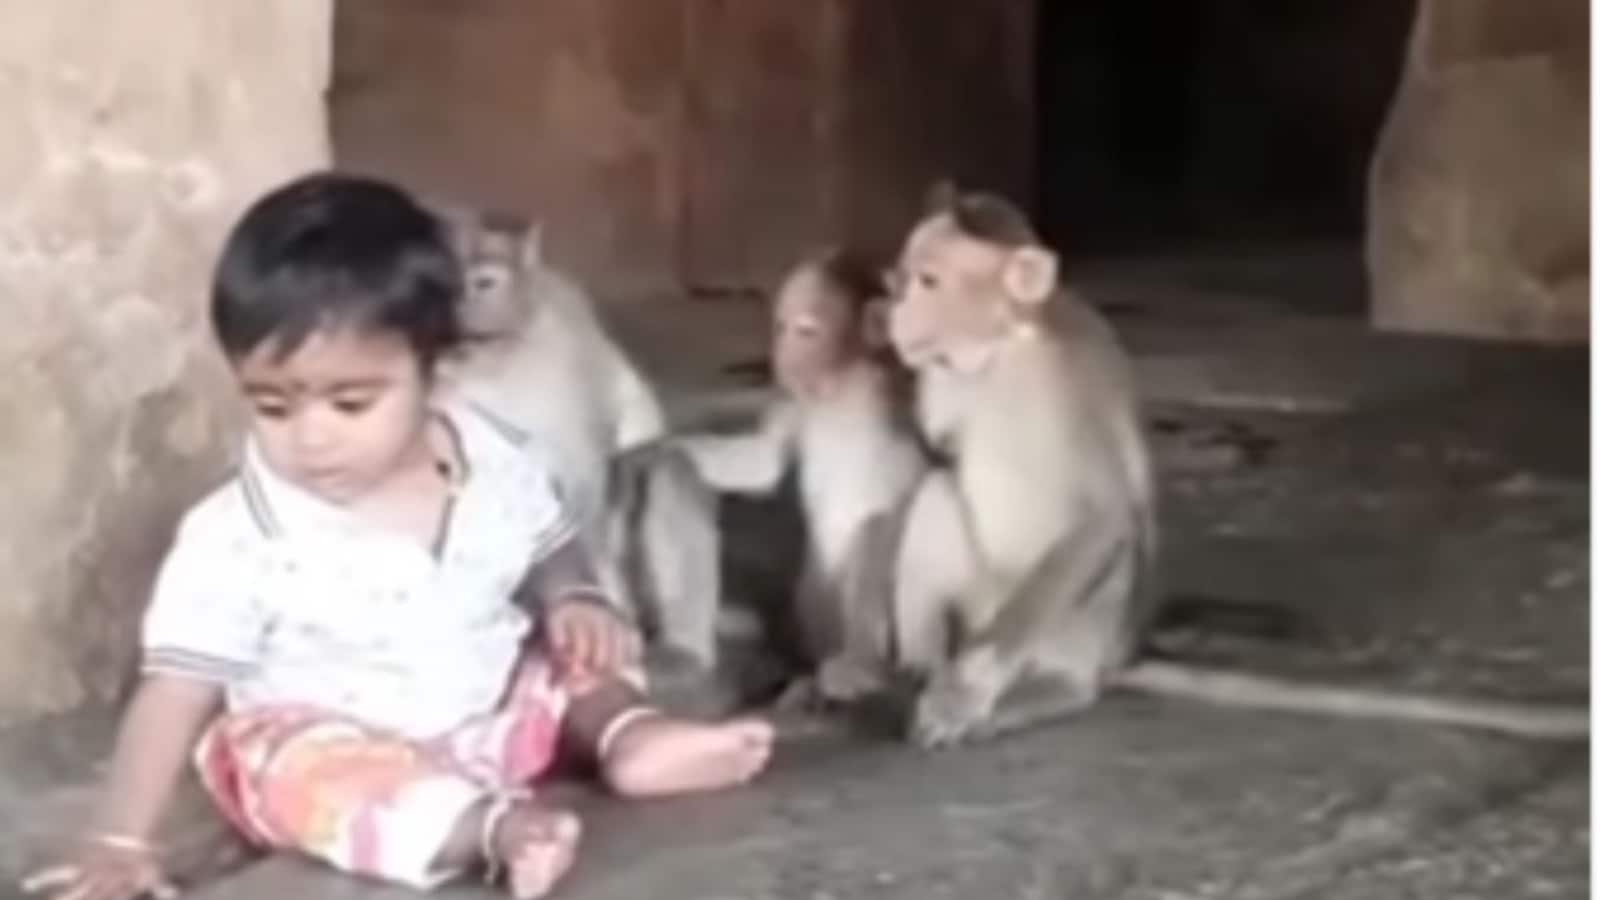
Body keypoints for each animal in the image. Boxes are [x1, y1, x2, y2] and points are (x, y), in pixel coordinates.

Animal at [437, 208, 722, 673]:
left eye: (482, 283)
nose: (455, 310)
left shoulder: (566, 368)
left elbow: (582, 483)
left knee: (659, 465)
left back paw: (682, 648)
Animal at [674, 247, 932, 703]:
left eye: (806, 331)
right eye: (781, 326)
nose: (781, 358)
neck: (843, 396)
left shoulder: (895, 430)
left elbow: (886, 521)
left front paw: (861, 660)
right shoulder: (795, 406)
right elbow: (762, 463)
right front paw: (662, 446)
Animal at [880, 183, 1588, 746]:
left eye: (929, 281)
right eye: (910, 275)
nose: (895, 310)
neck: (1004, 352)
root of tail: (1116, 654)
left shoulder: (1065, 386)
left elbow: (1104, 517)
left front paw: (964, 690)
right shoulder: (946, 380)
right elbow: (938, 452)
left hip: (1078, 626)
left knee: (1089, 581)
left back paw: (1044, 692)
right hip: (983, 601)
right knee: (940, 489)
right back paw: (922, 663)